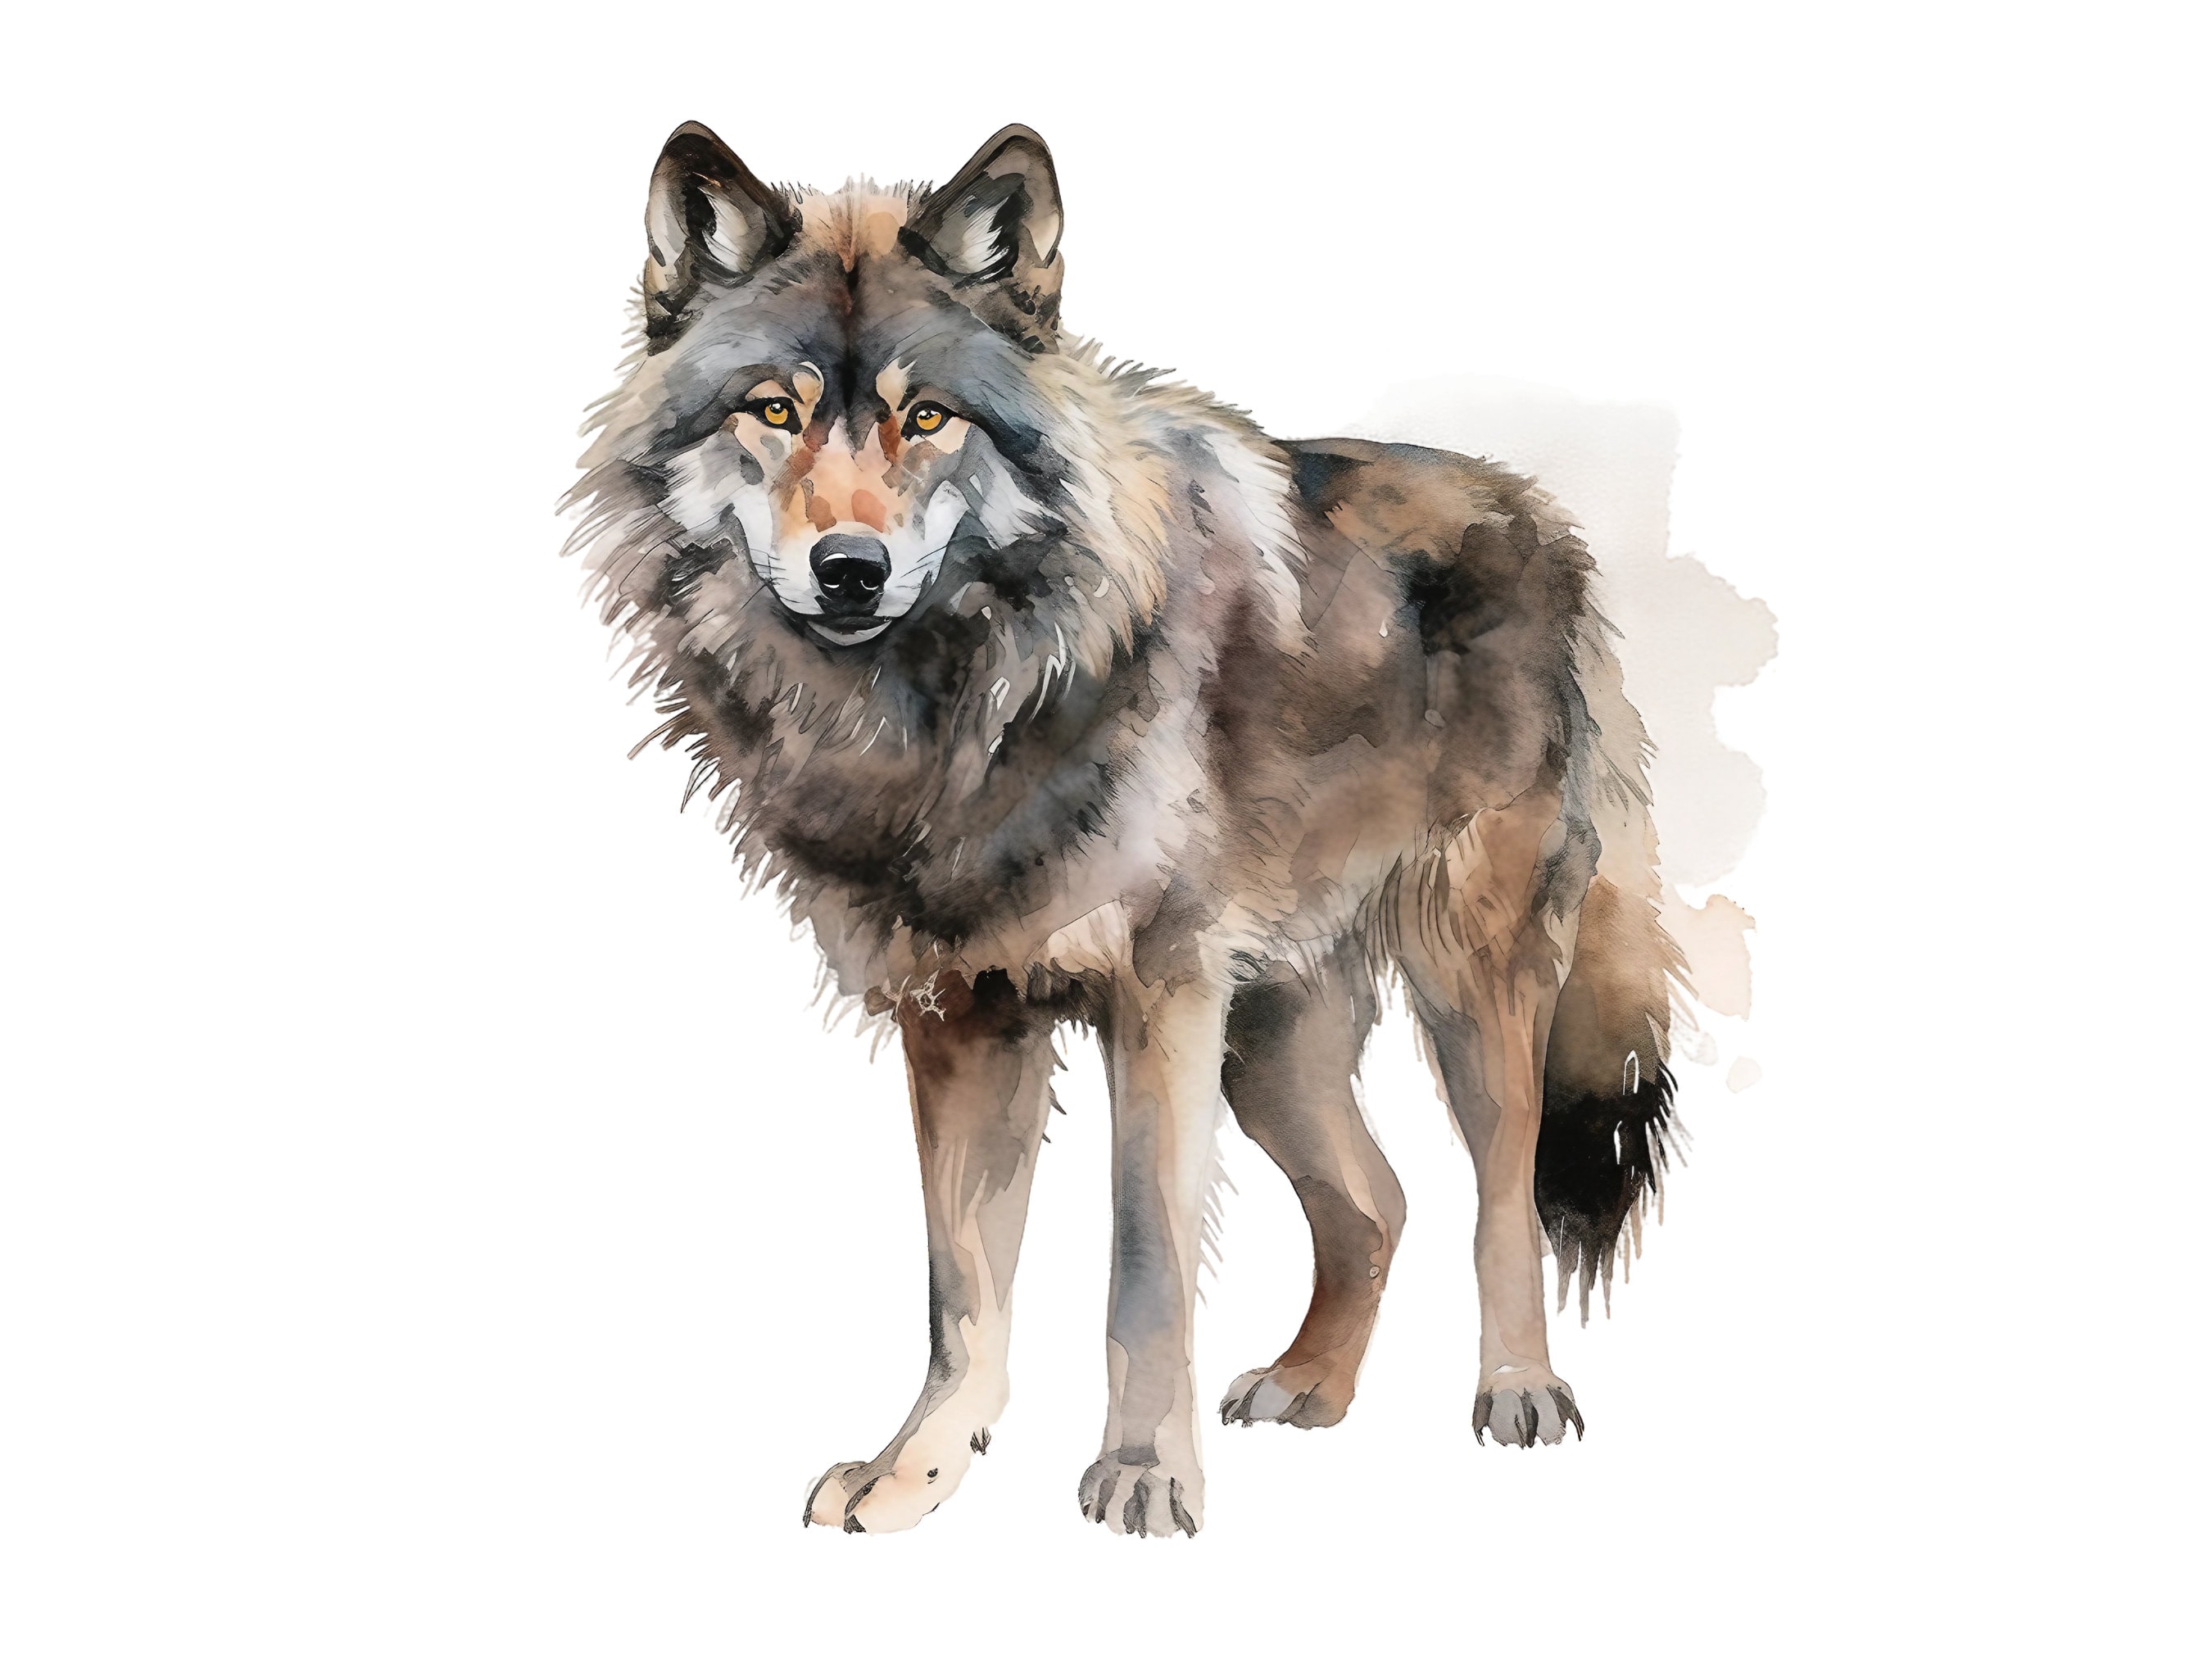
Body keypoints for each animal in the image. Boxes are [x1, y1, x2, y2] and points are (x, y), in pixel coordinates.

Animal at [565, 122, 1686, 1537]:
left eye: (926, 416)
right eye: (773, 410)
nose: (852, 570)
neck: (954, 716)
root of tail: (1543, 519)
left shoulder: (1158, 1001)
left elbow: (1143, 1268)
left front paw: (1146, 1473)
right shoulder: (965, 1017)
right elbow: (959, 1290)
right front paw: (917, 1472)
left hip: (1465, 985)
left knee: (1502, 1195)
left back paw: (1520, 1392)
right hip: (1272, 1044)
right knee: (1377, 1201)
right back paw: (1313, 1385)